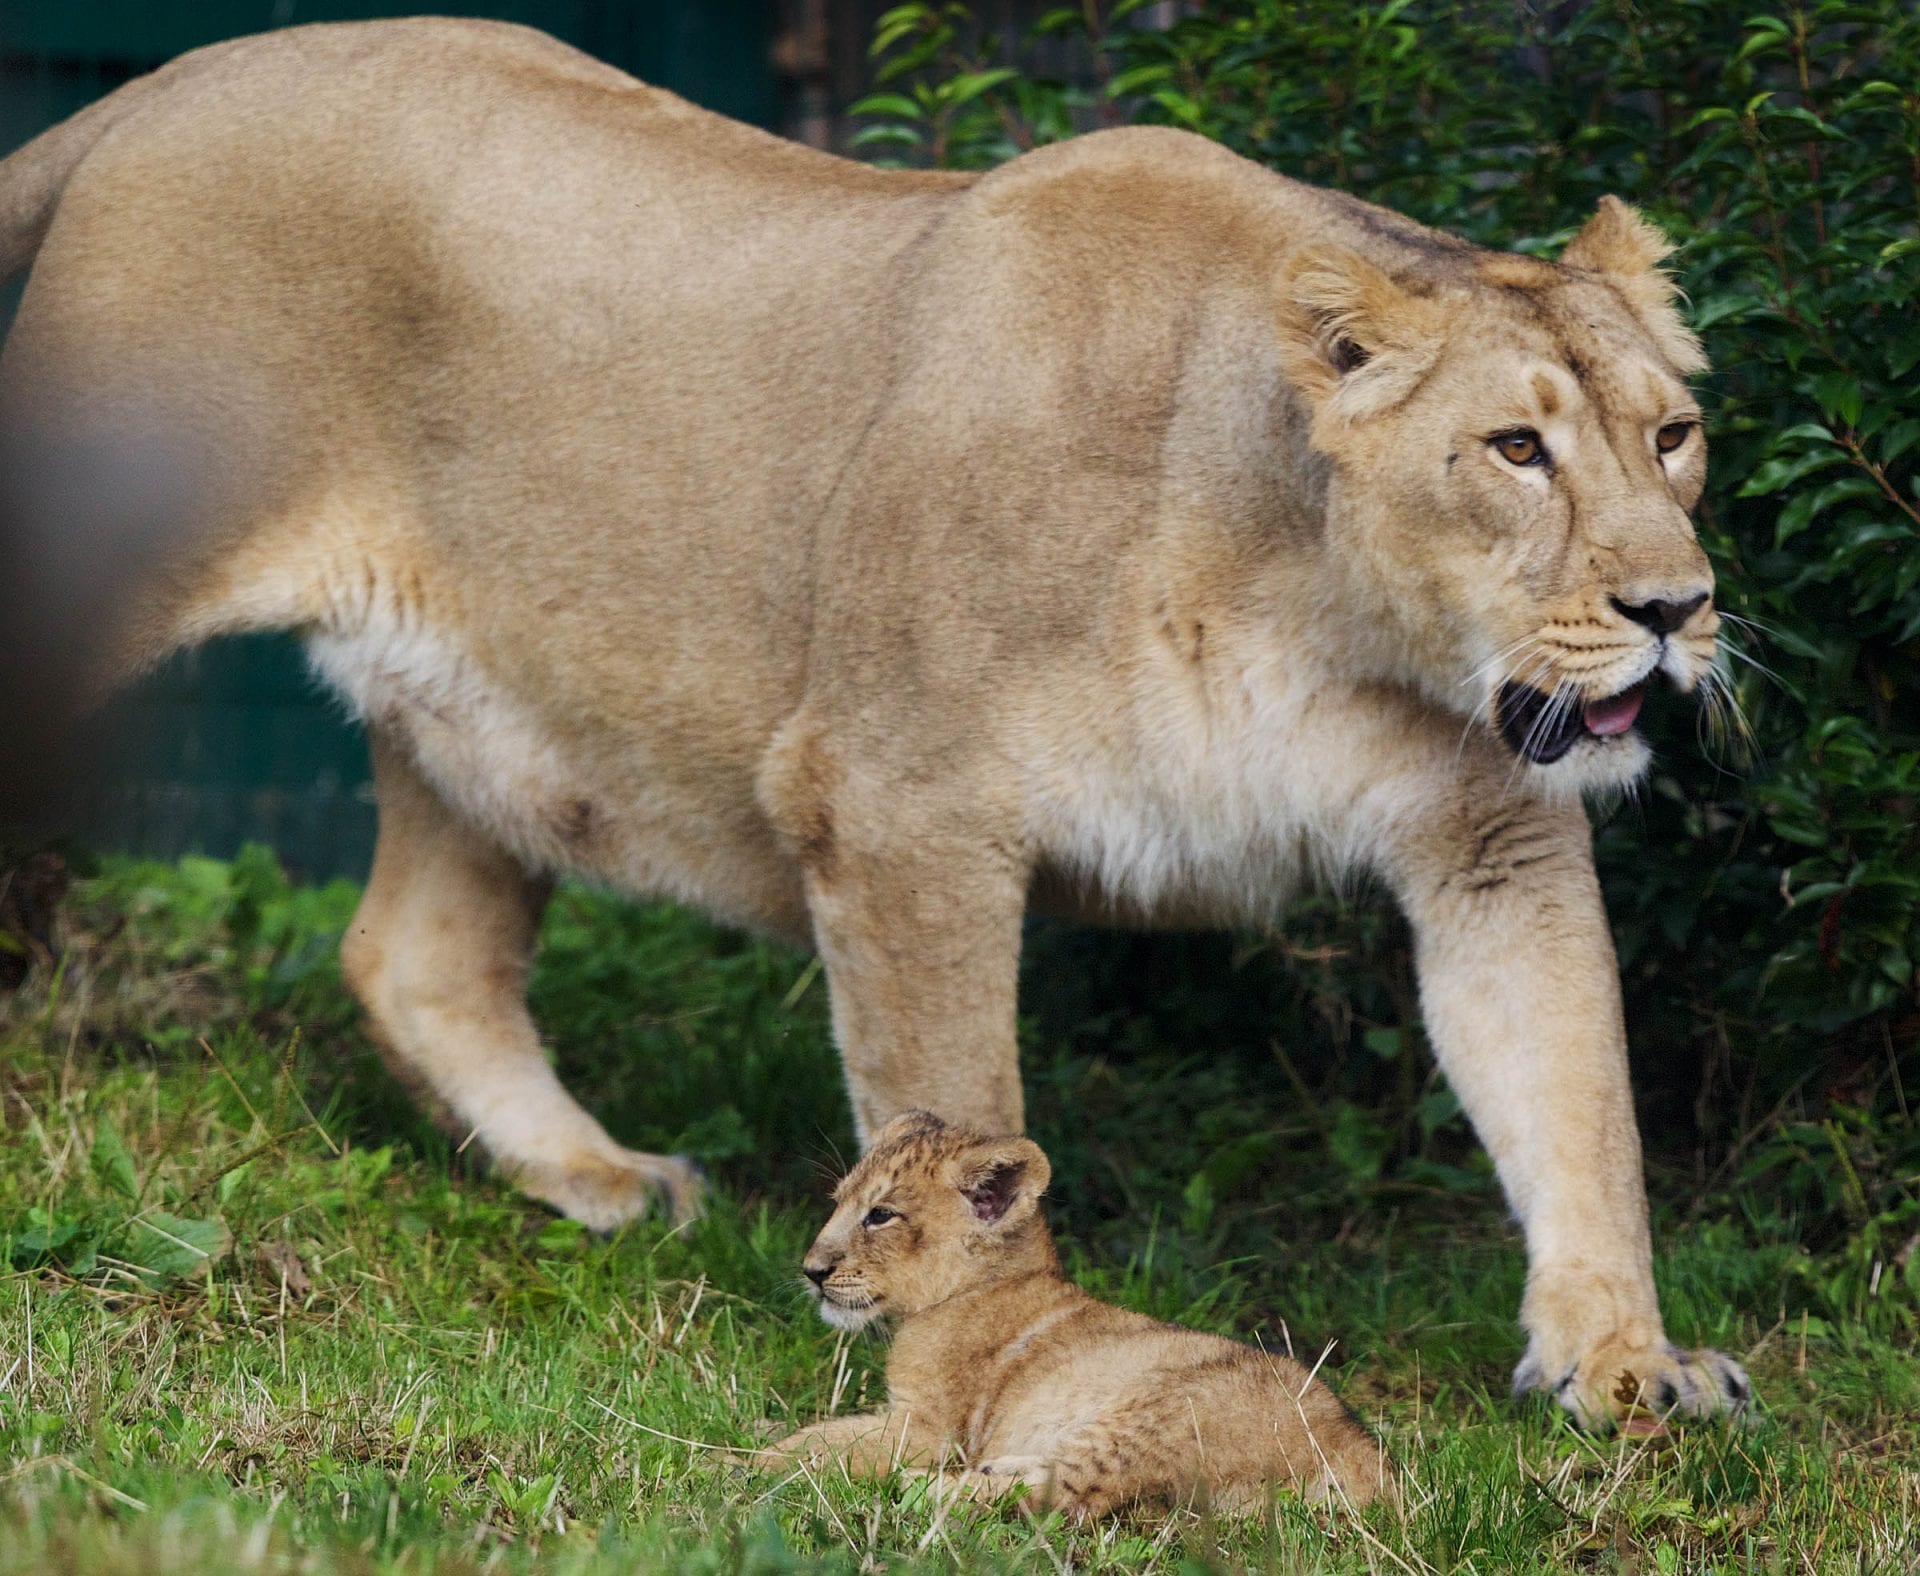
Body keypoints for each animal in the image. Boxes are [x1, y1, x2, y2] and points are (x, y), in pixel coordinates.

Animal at [0, 17, 1751, 1429]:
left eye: (1673, 437)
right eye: (1516, 449)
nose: (1677, 609)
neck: (1321, 611)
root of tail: (181, 74)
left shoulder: (1491, 840)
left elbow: (1576, 1102)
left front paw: (1625, 1365)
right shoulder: (903, 798)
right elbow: (959, 1099)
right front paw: (975, 1317)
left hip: (482, 711)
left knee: (411, 955)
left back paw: (602, 1181)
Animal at [761, 1112, 1390, 1518]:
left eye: (881, 1215)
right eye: (838, 1202)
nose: (811, 1270)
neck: (977, 1285)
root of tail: (1360, 1451)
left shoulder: (931, 1430)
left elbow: (822, 1444)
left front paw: (748, 1464)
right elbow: (821, 1430)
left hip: (1154, 1413)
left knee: (1062, 1497)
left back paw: (923, 1490)